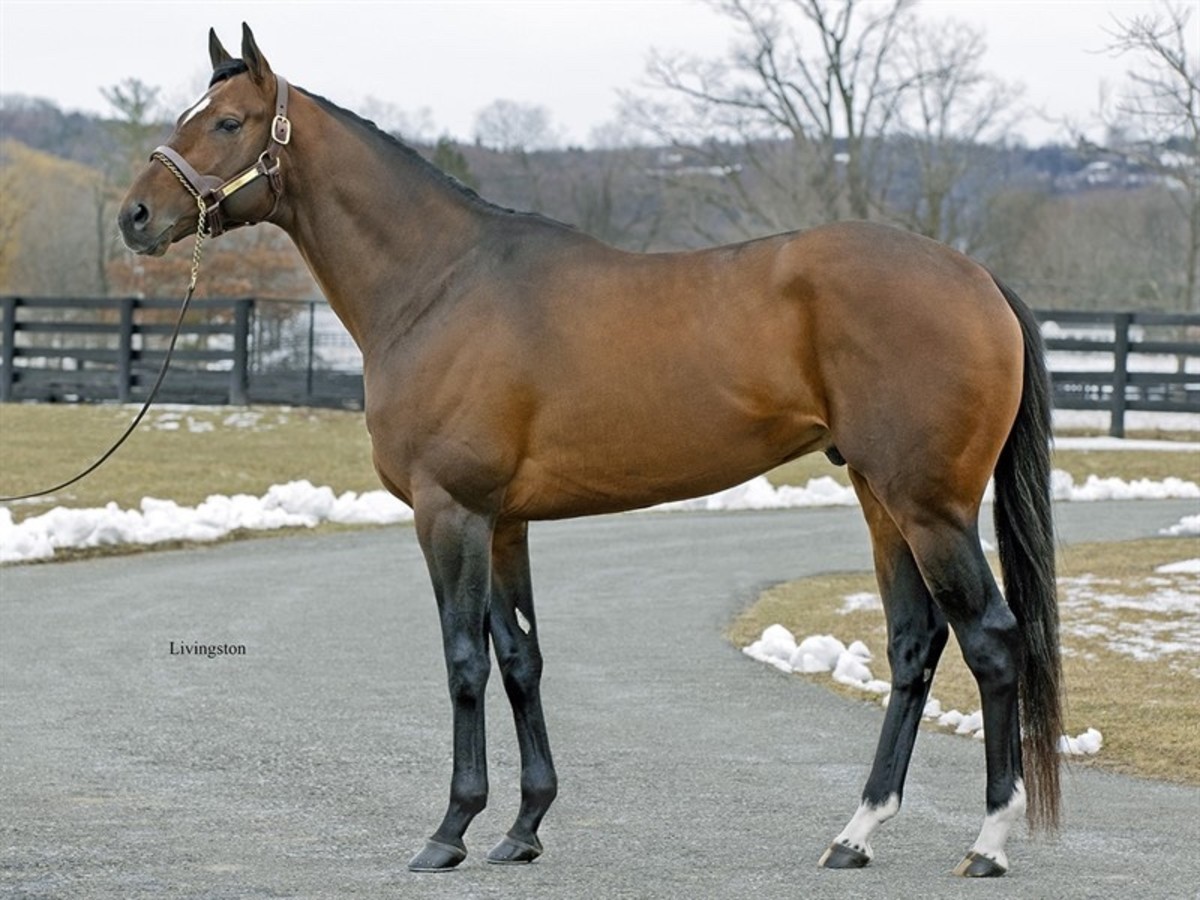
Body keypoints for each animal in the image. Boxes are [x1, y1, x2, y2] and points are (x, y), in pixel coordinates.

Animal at [118, 24, 1061, 879]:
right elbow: (520, 660)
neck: (441, 284)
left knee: (991, 641)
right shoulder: (504, 523)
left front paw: (450, 831)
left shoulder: (450, 512)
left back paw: (987, 844)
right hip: (879, 496)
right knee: (914, 644)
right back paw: (855, 834)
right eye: (189, 114)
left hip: (930, 506)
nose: (135, 216)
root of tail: (977, 278)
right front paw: (523, 828)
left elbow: (464, 663)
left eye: (229, 121)